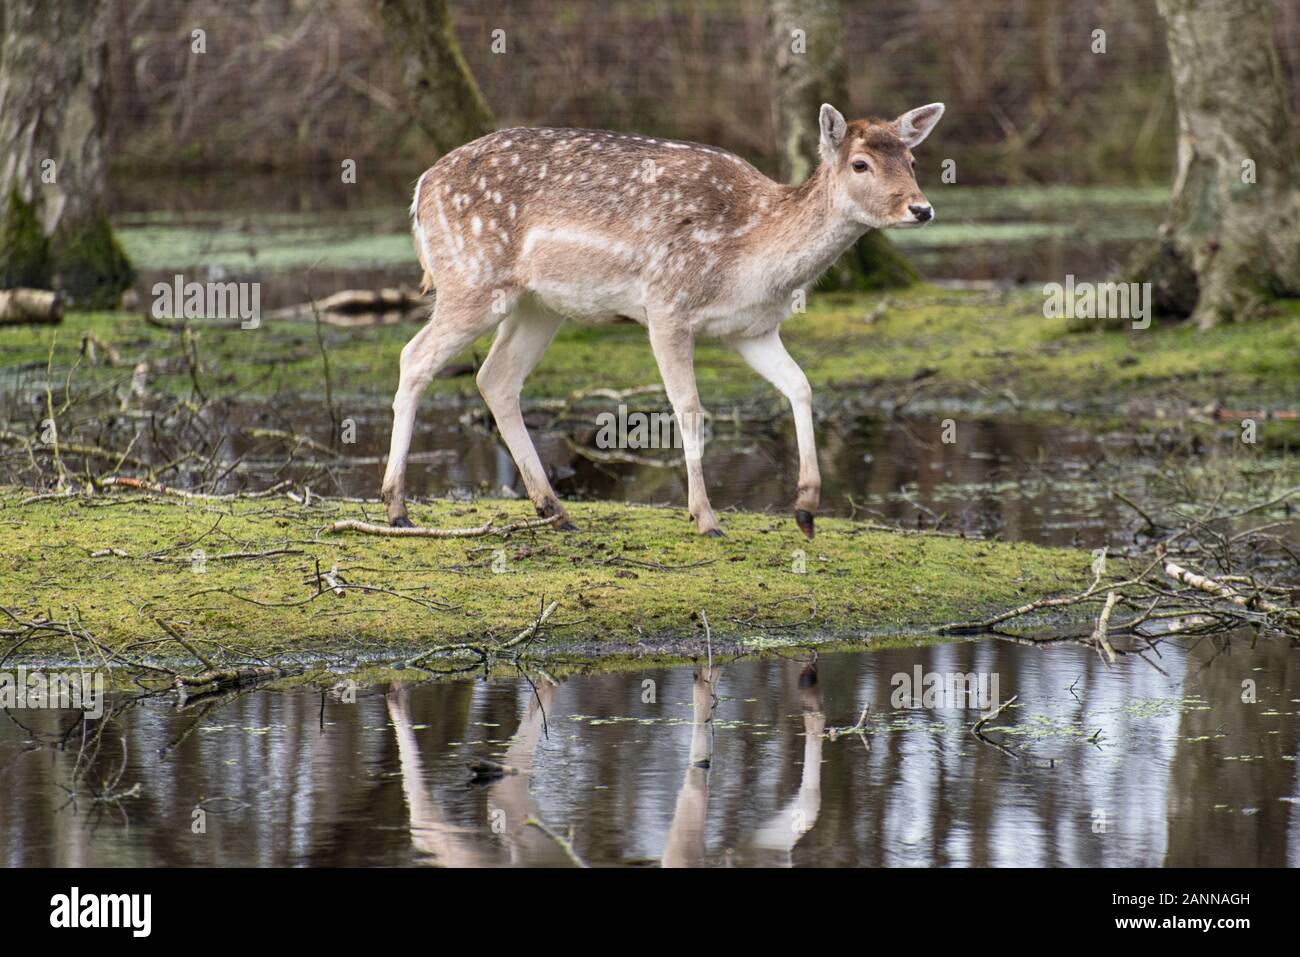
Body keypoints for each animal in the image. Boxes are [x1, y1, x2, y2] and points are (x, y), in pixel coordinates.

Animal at [382, 101, 944, 539]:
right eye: (860, 164)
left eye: (912, 158)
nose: (921, 209)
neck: (750, 257)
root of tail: (419, 189)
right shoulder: (667, 304)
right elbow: (690, 408)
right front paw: (706, 518)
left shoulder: (753, 330)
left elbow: (802, 386)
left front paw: (805, 511)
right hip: (471, 278)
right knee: (414, 357)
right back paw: (397, 509)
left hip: (538, 305)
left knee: (494, 377)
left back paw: (554, 509)